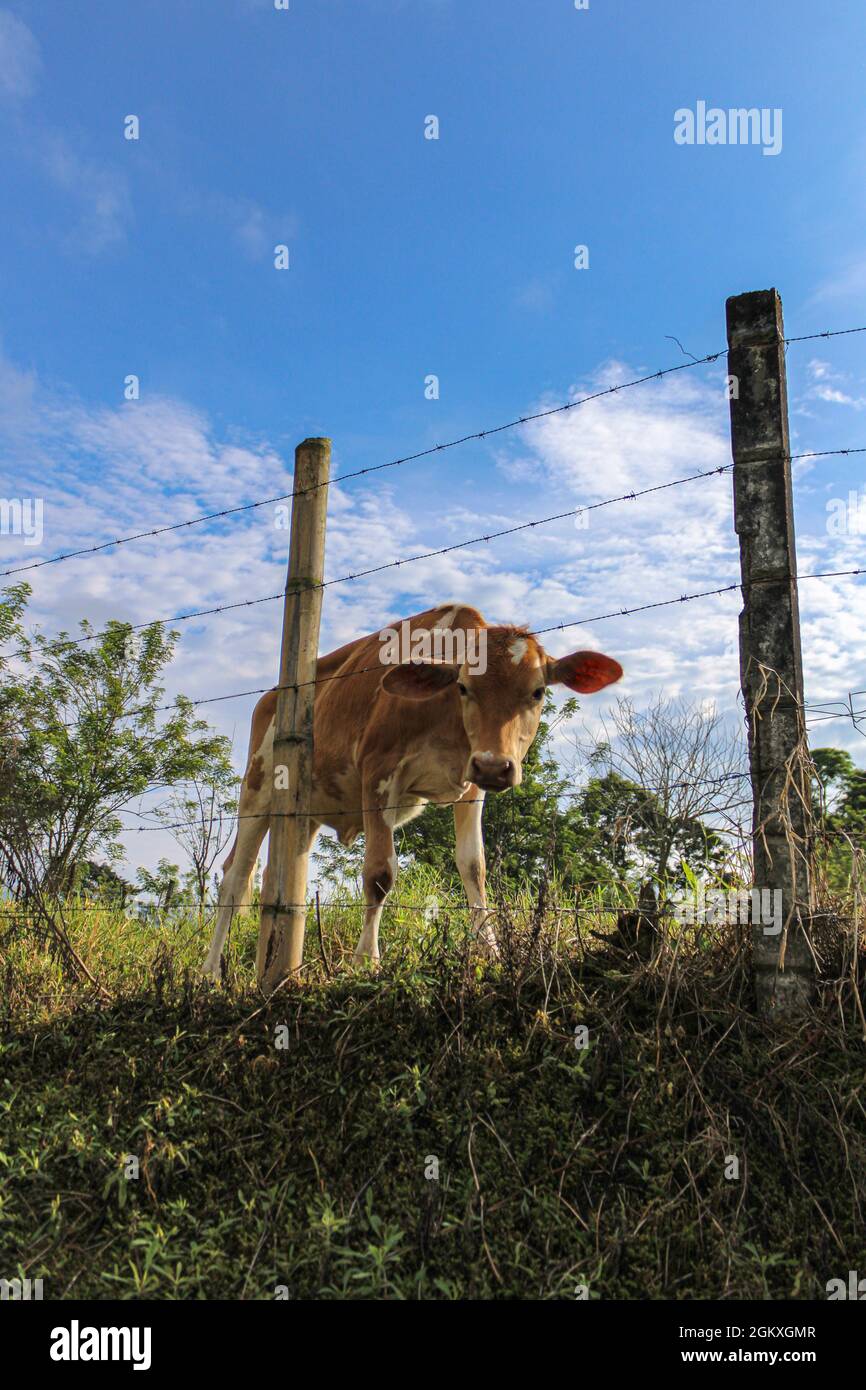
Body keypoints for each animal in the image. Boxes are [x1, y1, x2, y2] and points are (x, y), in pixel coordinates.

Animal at [202, 604, 622, 977]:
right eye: (464, 687)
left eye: (537, 692)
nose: (494, 765)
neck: (448, 726)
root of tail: (274, 693)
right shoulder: (377, 773)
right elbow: (379, 874)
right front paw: (365, 961)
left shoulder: (473, 787)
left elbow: (473, 866)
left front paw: (489, 951)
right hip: (257, 790)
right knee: (236, 878)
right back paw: (211, 971)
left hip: (305, 812)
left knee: (280, 878)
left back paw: (279, 968)